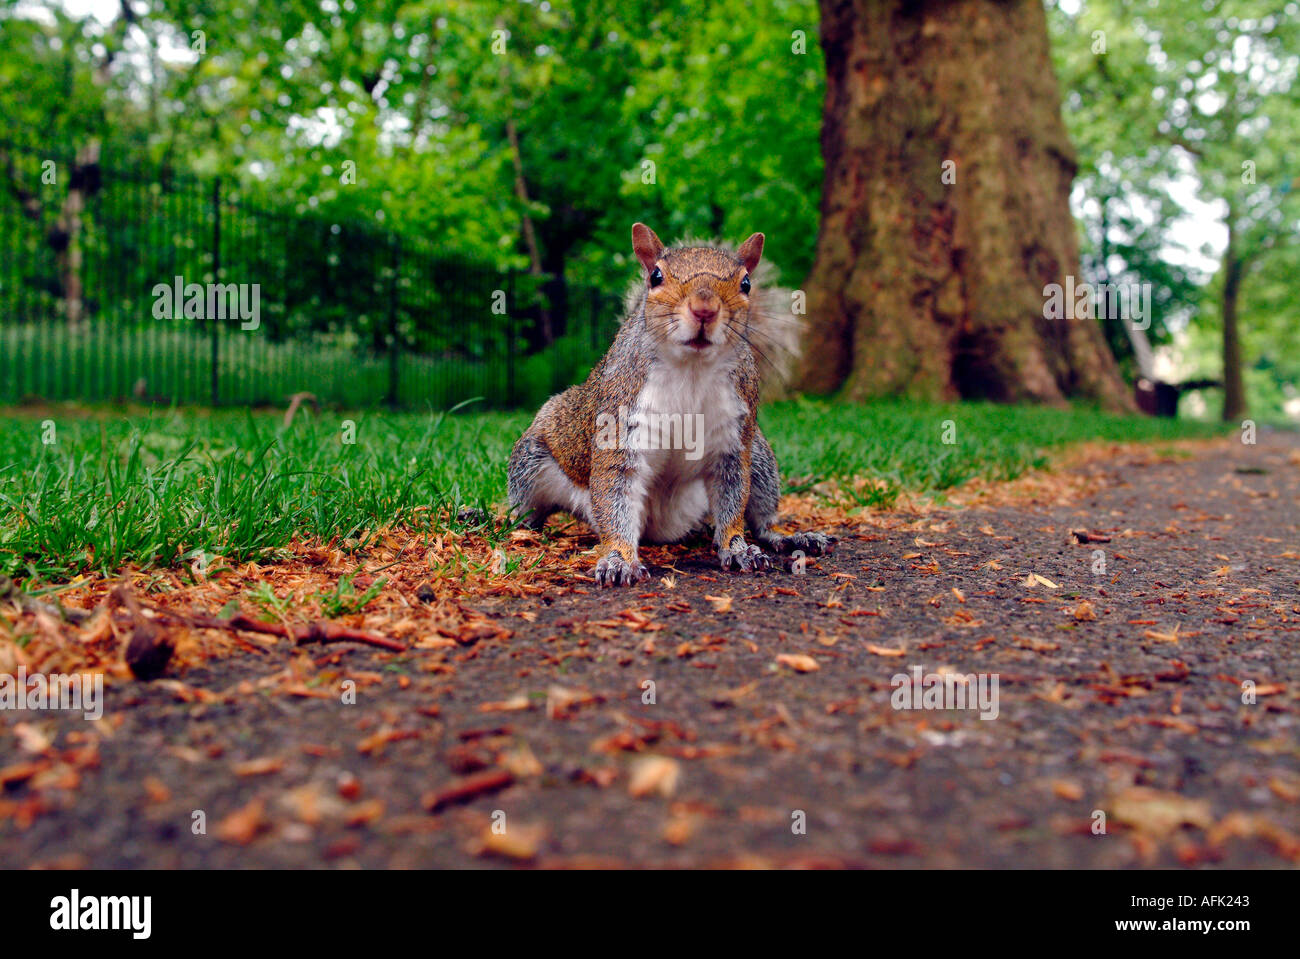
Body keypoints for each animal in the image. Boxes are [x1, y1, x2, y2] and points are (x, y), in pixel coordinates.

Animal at [507, 223, 834, 587]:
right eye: (656, 276)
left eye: (746, 283)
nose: (704, 309)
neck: (691, 368)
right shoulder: (619, 422)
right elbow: (615, 490)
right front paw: (619, 558)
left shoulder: (733, 441)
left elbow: (734, 497)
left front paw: (736, 548)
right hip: (530, 463)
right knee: (529, 509)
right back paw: (508, 526)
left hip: (760, 461)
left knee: (761, 519)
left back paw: (787, 537)